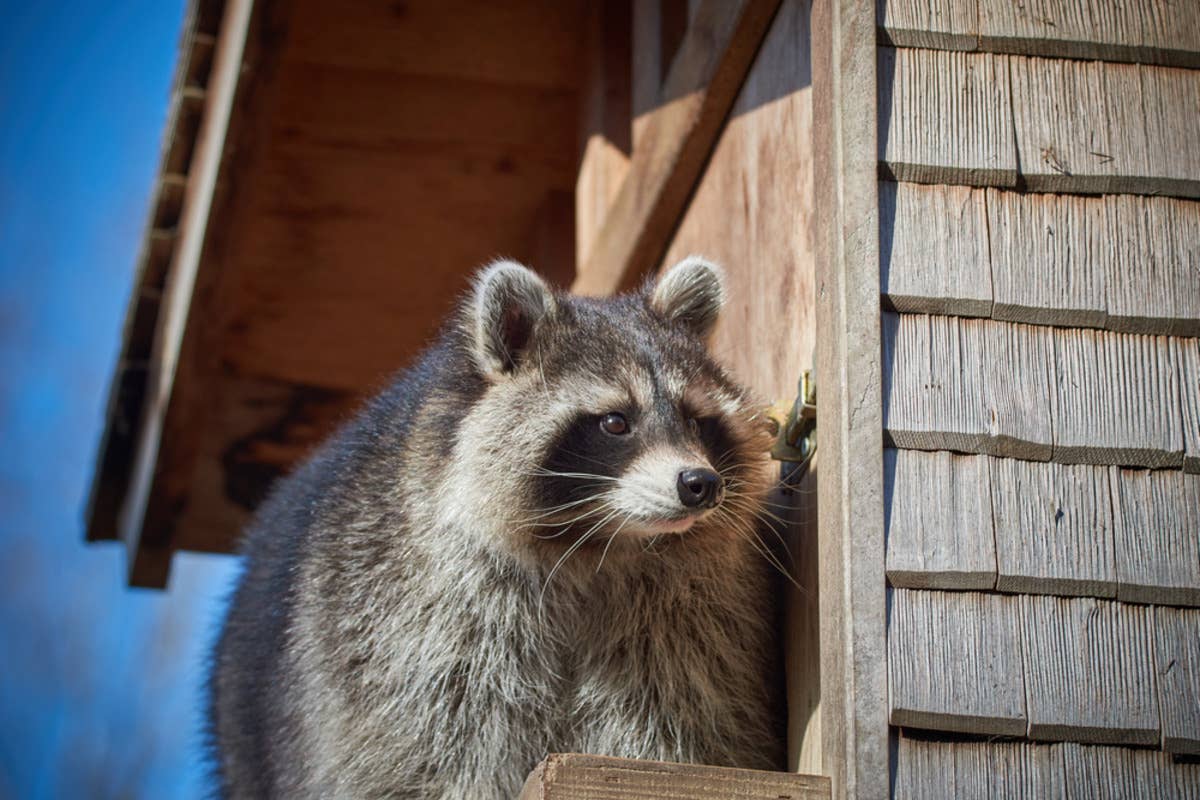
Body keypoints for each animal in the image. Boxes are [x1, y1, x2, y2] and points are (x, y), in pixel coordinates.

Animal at [211, 256, 786, 799]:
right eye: (615, 422)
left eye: (694, 420)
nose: (700, 483)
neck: (601, 541)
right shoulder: (409, 618)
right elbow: (439, 745)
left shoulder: (686, 623)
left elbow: (674, 711)